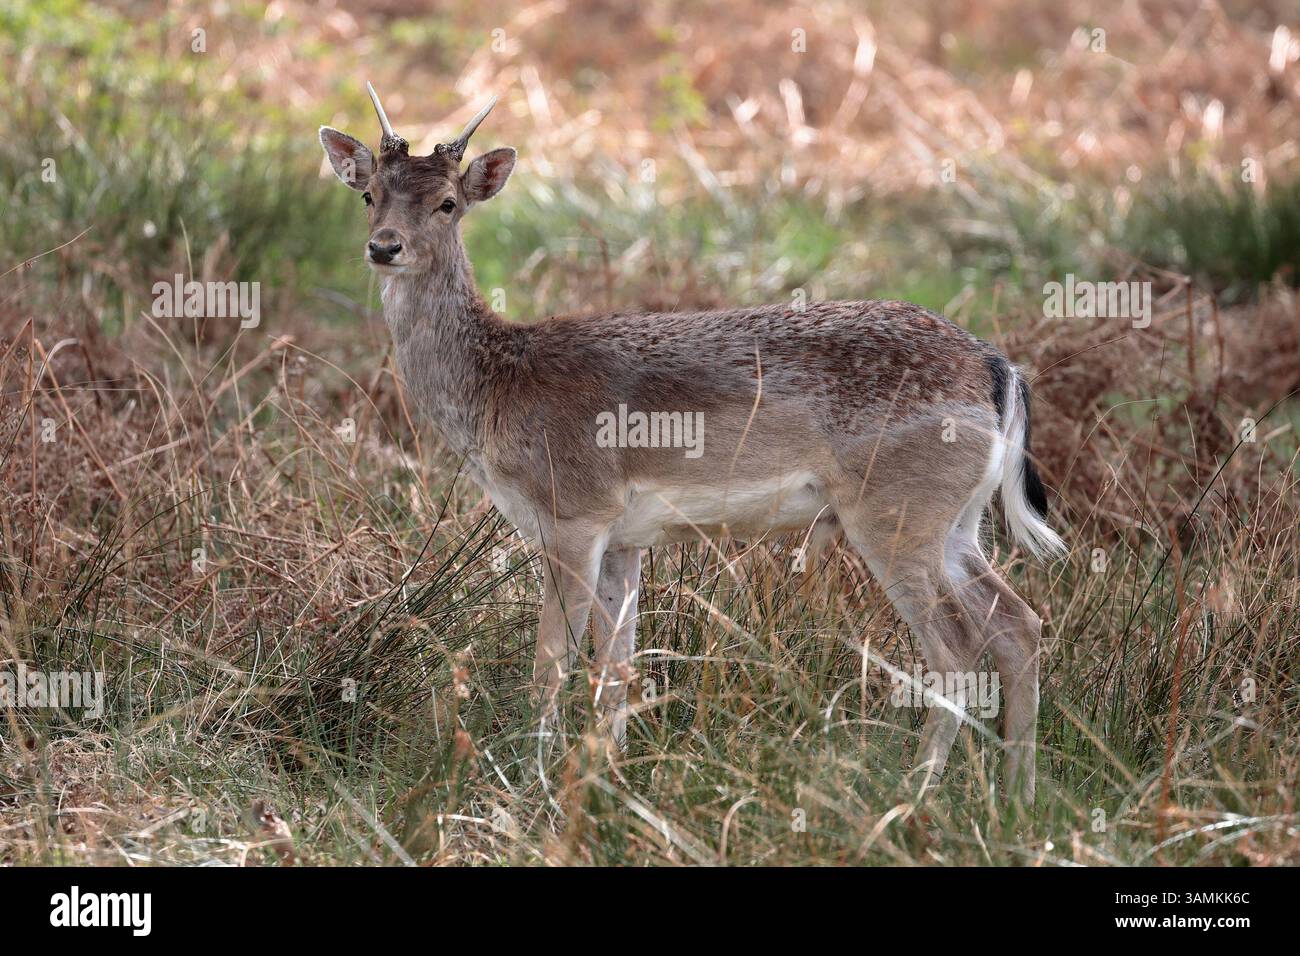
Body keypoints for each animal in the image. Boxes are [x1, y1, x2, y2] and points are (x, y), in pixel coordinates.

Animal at [319, 84, 1066, 802]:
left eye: (448, 203)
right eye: (369, 194)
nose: (384, 246)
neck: (495, 393)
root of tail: (999, 369)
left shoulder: (573, 512)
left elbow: (550, 664)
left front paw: (525, 789)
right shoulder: (625, 538)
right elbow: (616, 670)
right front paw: (605, 784)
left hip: (894, 512)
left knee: (958, 647)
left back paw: (913, 798)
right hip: (957, 520)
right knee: (1019, 625)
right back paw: (1019, 801)